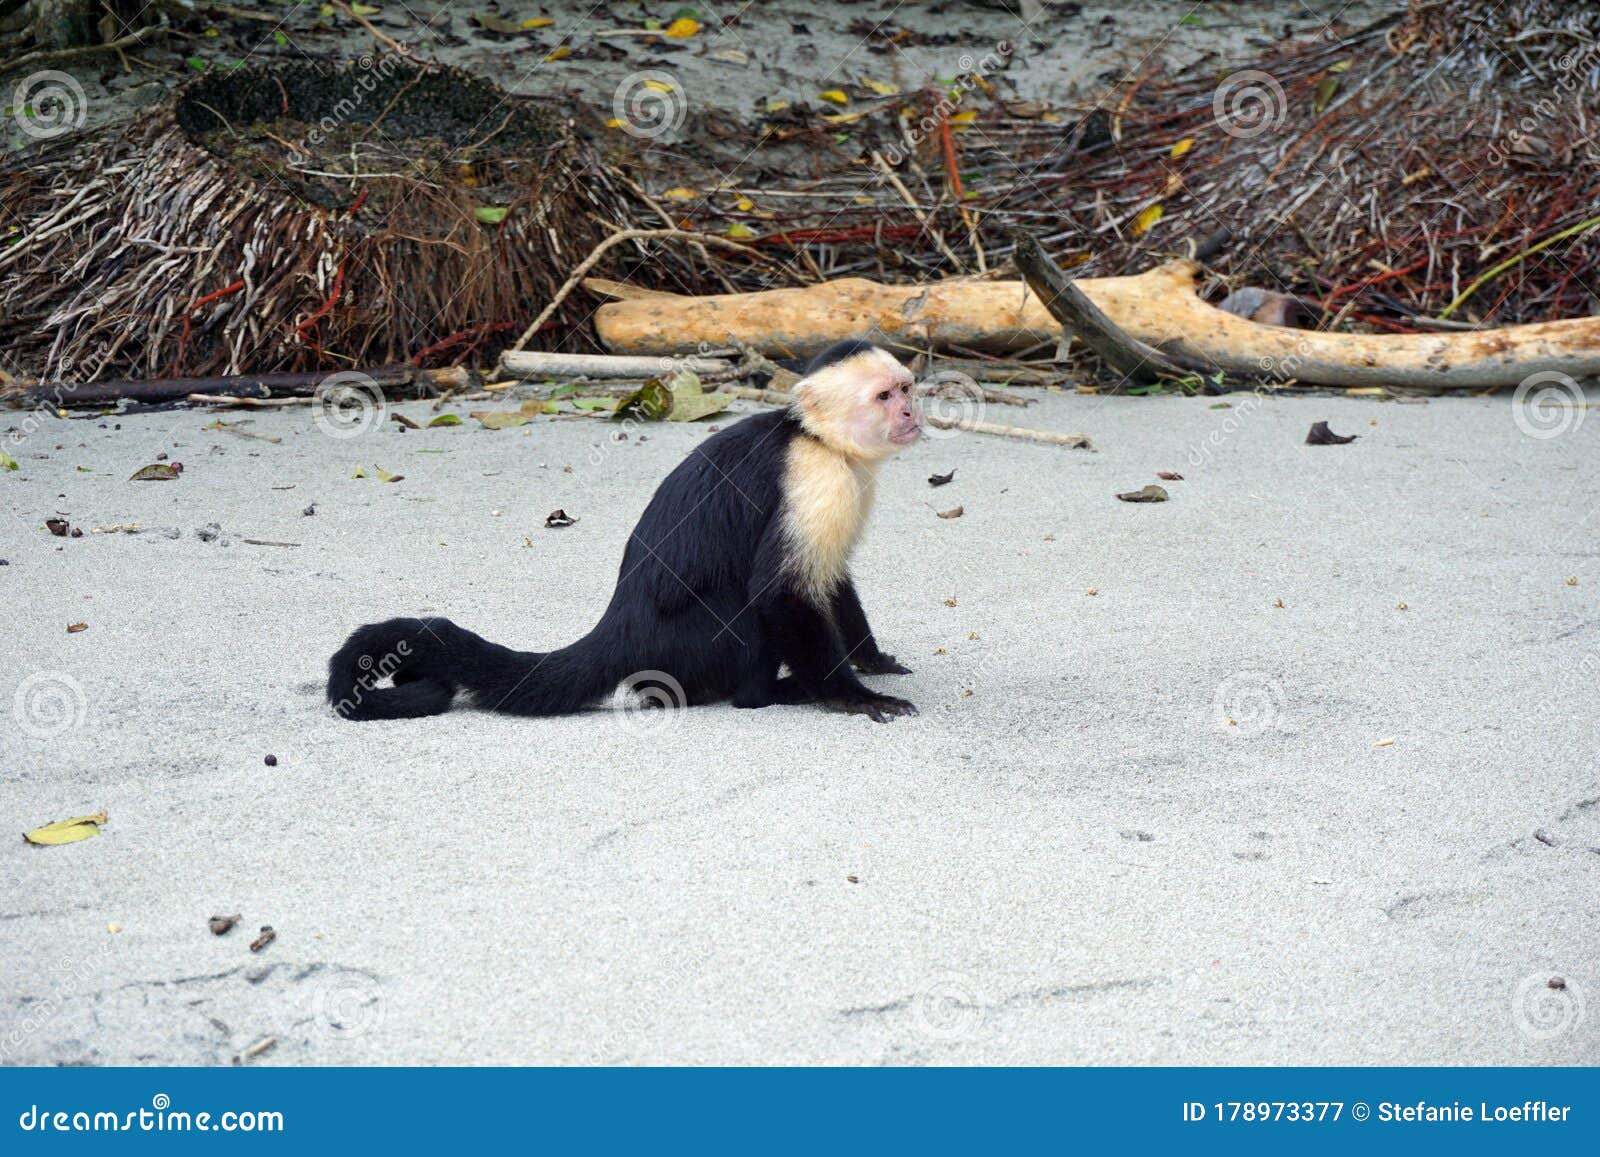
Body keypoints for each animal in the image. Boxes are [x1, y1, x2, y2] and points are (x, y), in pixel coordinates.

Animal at [326, 339, 923, 724]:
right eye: (884, 397)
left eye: (907, 388)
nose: (913, 414)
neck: (817, 438)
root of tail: (620, 627)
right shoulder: (814, 475)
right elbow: (784, 591)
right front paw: (852, 696)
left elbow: (832, 577)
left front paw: (871, 660)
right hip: (688, 643)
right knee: (744, 609)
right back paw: (770, 692)